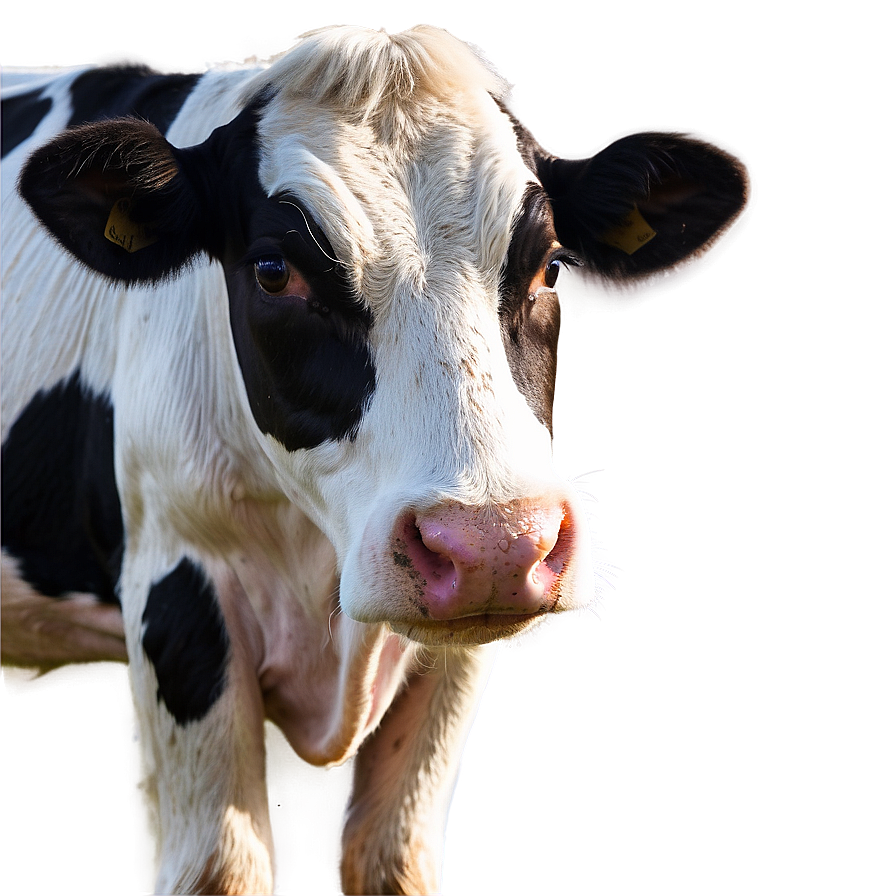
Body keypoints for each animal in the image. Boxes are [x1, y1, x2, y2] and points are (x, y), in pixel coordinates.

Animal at [1, 24, 749, 895]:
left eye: (551, 265)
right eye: (273, 271)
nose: (494, 544)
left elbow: (390, 854)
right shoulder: (178, 585)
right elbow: (222, 865)